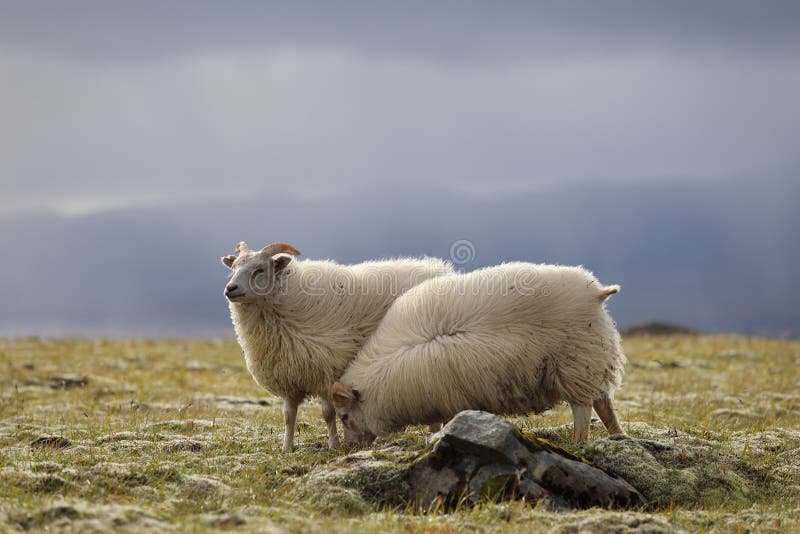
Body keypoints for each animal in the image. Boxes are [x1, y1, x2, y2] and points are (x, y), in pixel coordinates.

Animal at [221, 241, 453, 452]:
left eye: (259, 269)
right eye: (233, 268)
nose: (230, 288)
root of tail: (439, 268)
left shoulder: (326, 369)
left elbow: (327, 413)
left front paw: (333, 445)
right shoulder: (289, 374)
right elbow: (288, 416)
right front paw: (286, 448)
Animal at [330, 262, 626, 444]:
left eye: (344, 416)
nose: (350, 448)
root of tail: (596, 293)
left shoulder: (446, 398)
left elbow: (442, 423)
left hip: (576, 363)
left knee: (583, 409)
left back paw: (579, 441)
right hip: (593, 360)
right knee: (604, 404)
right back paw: (619, 435)